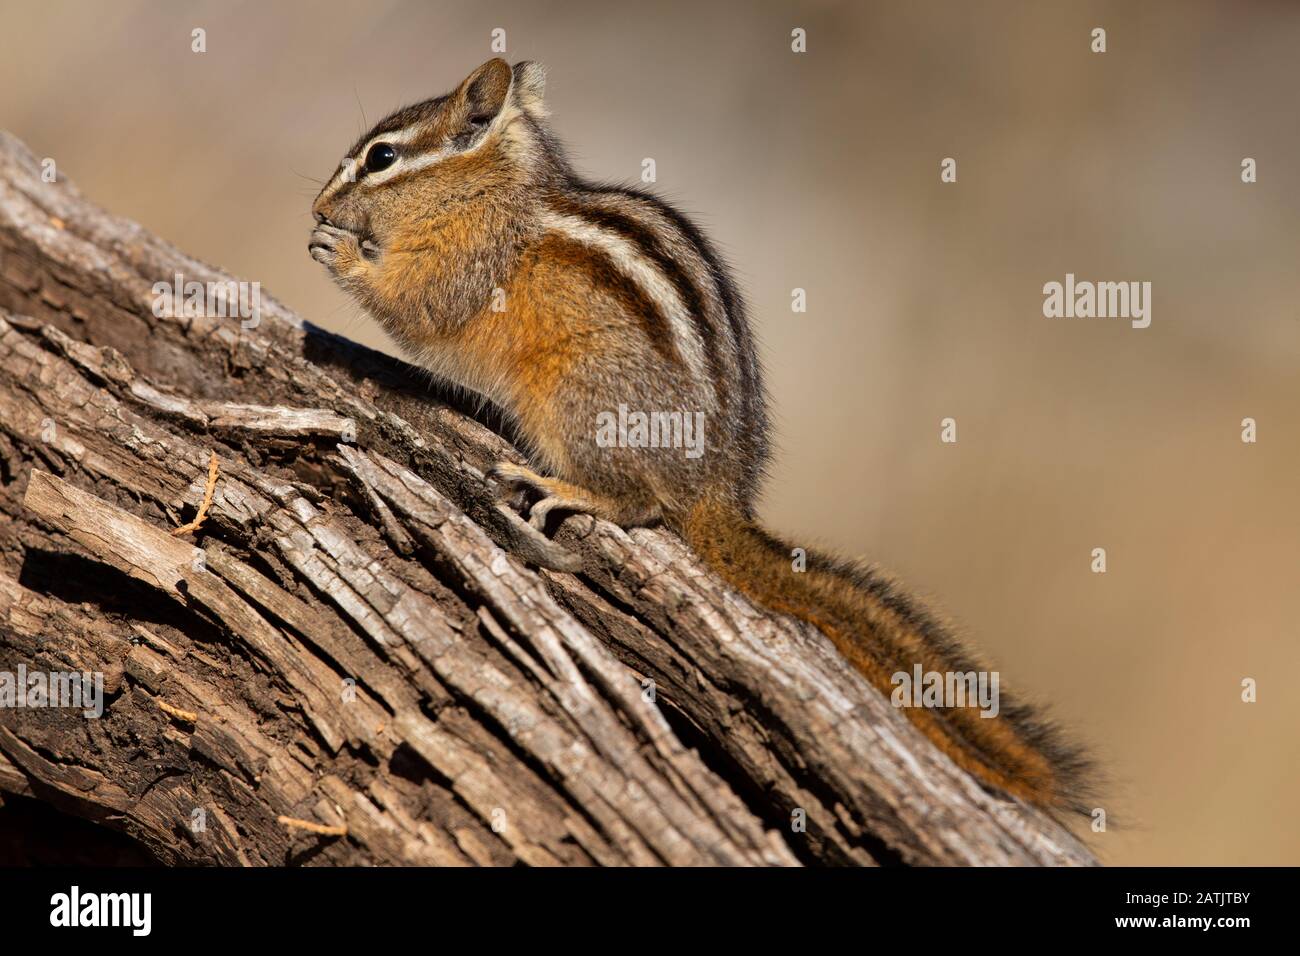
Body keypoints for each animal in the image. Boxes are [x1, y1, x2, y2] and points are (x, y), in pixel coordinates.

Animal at [309, 58, 1091, 814]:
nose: (317, 208)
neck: (493, 191)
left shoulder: (467, 262)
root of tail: (717, 487)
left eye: (381, 157)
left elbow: (417, 305)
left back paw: (566, 488)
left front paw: (338, 253)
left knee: (641, 504)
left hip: (579, 399)